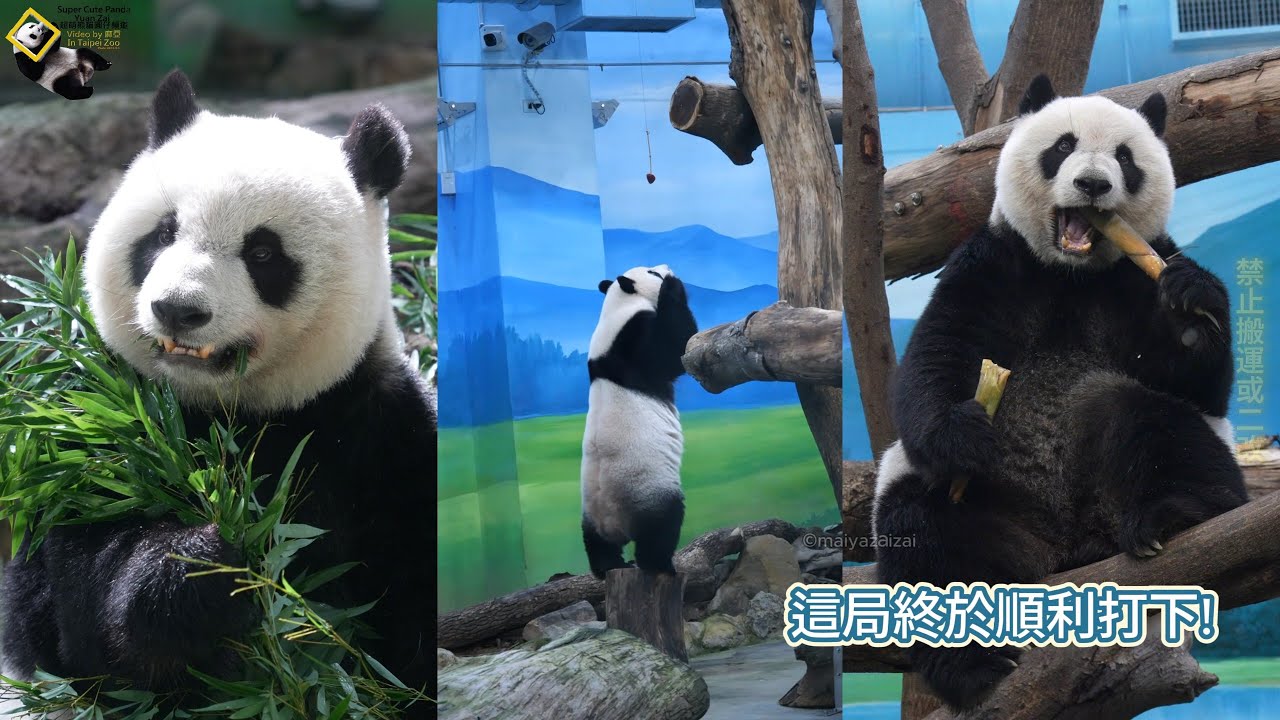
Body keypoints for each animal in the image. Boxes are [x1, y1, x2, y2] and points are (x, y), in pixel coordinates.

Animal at [0, 70, 434, 701]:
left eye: (263, 252)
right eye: (164, 233)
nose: (178, 309)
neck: (230, 412)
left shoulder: (379, 427)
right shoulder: (97, 429)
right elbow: (92, 589)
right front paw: (209, 566)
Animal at [581, 264, 698, 578]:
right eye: (651, 272)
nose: (666, 268)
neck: (618, 306)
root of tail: (612, 523)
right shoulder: (632, 345)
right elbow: (673, 349)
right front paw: (673, 286)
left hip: (590, 510)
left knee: (595, 543)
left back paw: (609, 565)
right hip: (647, 490)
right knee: (661, 528)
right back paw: (660, 565)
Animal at [872, 75, 1247, 710]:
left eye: (1125, 158)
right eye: (1063, 146)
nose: (1093, 184)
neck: (1071, 273)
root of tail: (1067, 549)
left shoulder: (1136, 272)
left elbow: (1197, 384)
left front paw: (1192, 305)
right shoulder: (991, 265)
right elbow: (937, 358)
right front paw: (962, 433)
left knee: (1145, 416)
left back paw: (1174, 515)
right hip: (978, 509)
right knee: (923, 540)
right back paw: (975, 666)